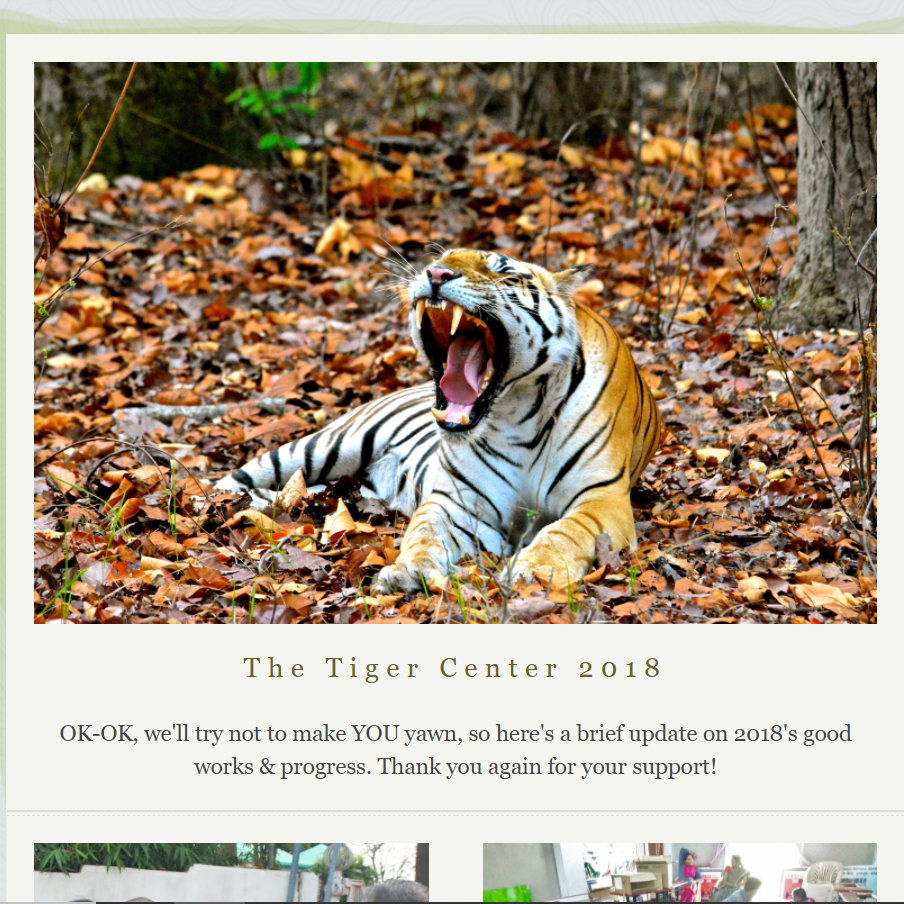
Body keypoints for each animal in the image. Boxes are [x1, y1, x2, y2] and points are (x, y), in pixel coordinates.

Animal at [216, 249, 661, 593]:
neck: (520, 413)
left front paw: (537, 571)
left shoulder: (603, 499)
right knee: (234, 479)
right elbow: (426, 533)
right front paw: (408, 571)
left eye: (502, 270)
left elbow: (566, 532)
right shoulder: (458, 499)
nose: (435, 274)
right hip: (323, 448)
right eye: (439, 258)